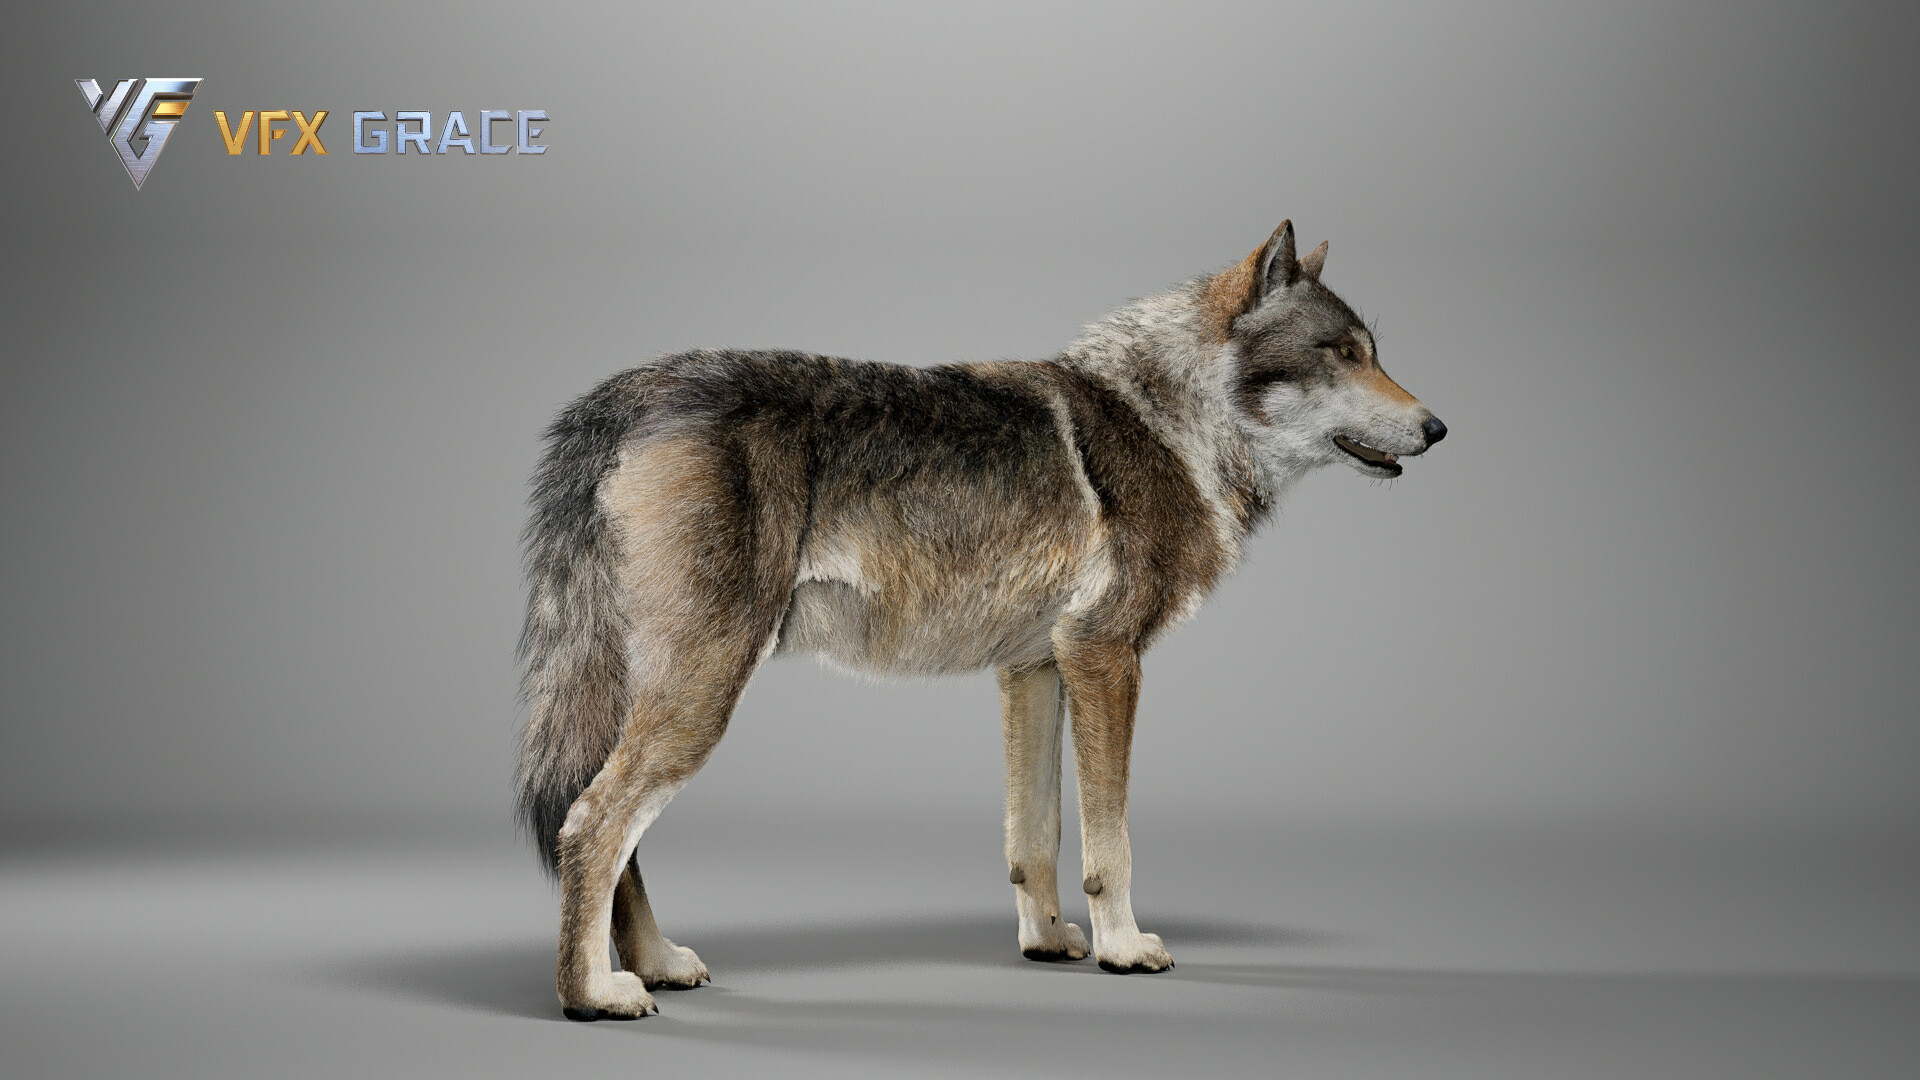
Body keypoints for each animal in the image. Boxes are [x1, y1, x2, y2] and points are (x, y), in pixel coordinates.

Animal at [515, 220, 1446, 1019]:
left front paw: (1050, 943)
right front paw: (1123, 948)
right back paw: (594, 996)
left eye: (1373, 355)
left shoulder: (1037, 666)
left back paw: (654, 965)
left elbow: (1036, 834)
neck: (1172, 423)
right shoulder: (1106, 655)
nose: (1438, 427)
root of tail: (618, 396)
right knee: (590, 823)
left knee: (606, 826)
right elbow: (1110, 839)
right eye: (1342, 356)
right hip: (704, 692)